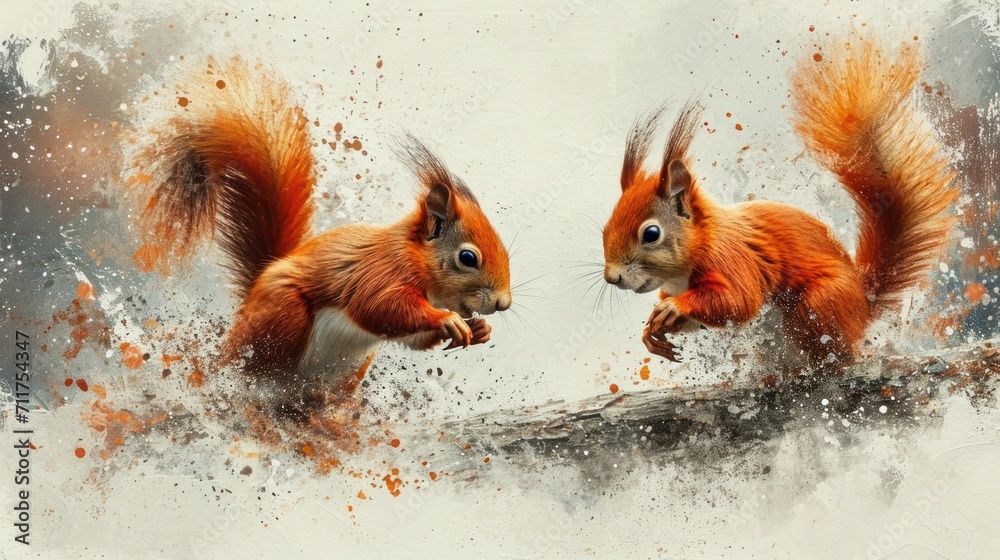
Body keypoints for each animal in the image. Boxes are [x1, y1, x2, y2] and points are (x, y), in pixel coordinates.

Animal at [129, 58, 512, 402]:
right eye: (468, 257)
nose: (503, 304)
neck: (416, 256)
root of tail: (254, 291)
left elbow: (409, 337)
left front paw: (480, 328)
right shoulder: (382, 271)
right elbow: (381, 307)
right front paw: (448, 319)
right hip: (281, 320)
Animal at [602, 35, 957, 366]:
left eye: (651, 234)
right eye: (604, 230)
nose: (611, 278)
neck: (701, 240)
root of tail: (863, 302)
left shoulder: (731, 259)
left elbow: (738, 300)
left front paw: (674, 307)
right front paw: (652, 332)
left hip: (819, 304)